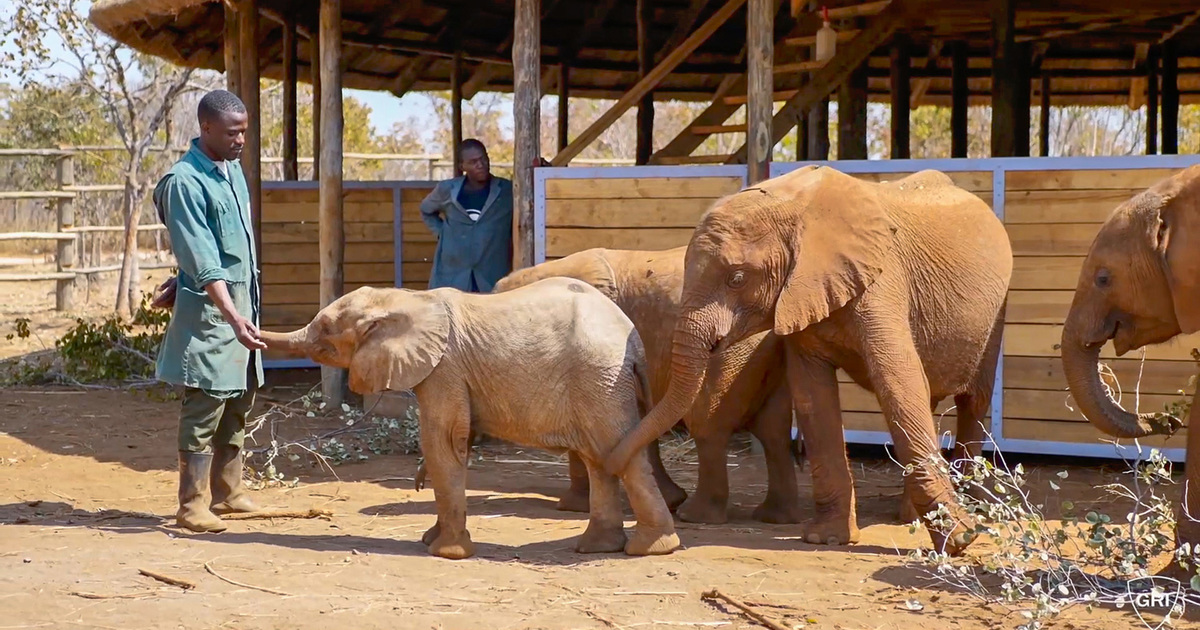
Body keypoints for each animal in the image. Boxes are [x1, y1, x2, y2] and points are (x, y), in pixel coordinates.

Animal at [260, 279, 681, 560]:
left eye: (325, 331)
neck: (408, 297)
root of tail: (633, 338)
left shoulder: (444, 367)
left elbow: (442, 440)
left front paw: (445, 552)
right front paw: (430, 537)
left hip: (599, 378)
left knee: (619, 455)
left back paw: (652, 549)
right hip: (601, 385)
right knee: (599, 460)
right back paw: (597, 548)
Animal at [493, 246, 798, 524]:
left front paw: (573, 507)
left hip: (731, 354)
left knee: (708, 427)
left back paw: (695, 517)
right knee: (774, 430)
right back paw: (775, 517)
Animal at [602, 165, 1012, 556]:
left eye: (737, 278)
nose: (611, 462)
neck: (793, 205)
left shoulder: (881, 282)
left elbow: (898, 384)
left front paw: (960, 540)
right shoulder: (800, 296)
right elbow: (813, 398)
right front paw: (826, 539)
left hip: (997, 311)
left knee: (972, 402)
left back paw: (971, 506)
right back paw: (909, 516)